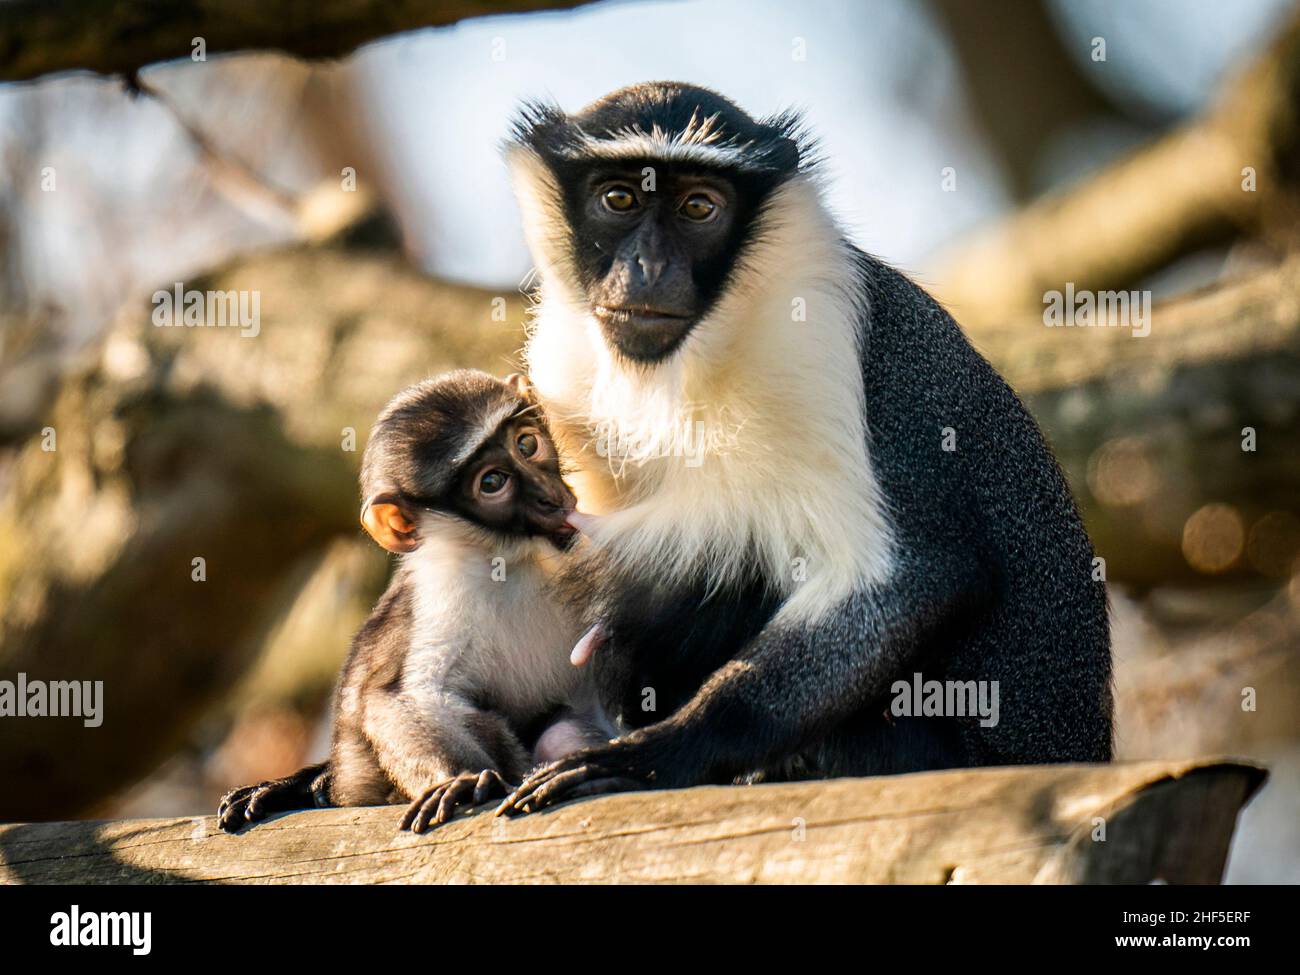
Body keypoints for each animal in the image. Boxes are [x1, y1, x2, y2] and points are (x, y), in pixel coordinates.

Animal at [217, 370, 612, 834]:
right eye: (492, 483)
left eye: (527, 444)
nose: (550, 497)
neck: (522, 560)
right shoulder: (439, 591)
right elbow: (401, 696)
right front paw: (462, 779)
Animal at [492, 82, 1112, 817]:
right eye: (619, 198)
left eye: (699, 207)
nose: (648, 267)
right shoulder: (562, 368)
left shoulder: (819, 326)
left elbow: (914, 577)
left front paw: (658, 754)